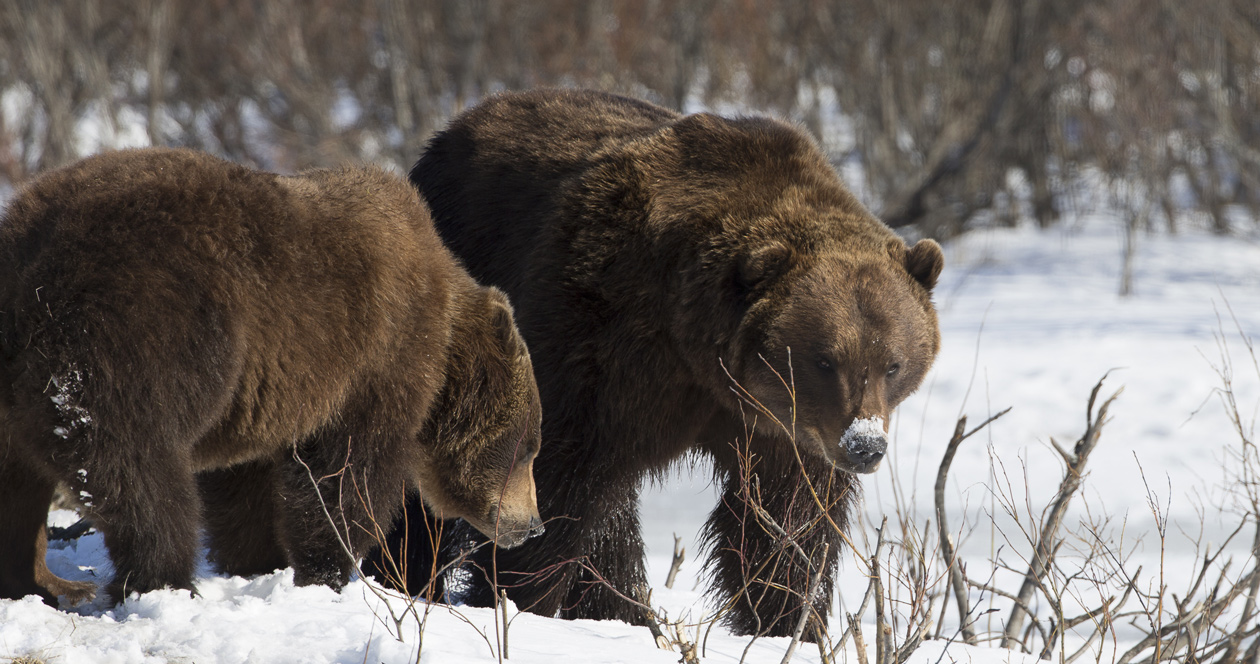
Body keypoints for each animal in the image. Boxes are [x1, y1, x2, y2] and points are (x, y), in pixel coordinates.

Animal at [0, 147, 544, 607]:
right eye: (528, 448)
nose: (534, 524)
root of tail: (29, 255)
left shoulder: (263, 383)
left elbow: (246, 484)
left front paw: (259, 562)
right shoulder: (376, 354)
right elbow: (346, 470)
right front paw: (327, 570)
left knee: (20, 481)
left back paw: (39, 581)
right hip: (137, 325)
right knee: (139, 469)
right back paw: (164, 582)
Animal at [366, 88, 944, 640]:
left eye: (893, 363)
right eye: (825, 359)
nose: (865, 446)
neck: (702, 350)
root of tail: (456, 126)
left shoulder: (782, 428)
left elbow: (787, 518)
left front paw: (787, 622)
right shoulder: (603, 337)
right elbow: (558, 476)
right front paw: (513, 598)